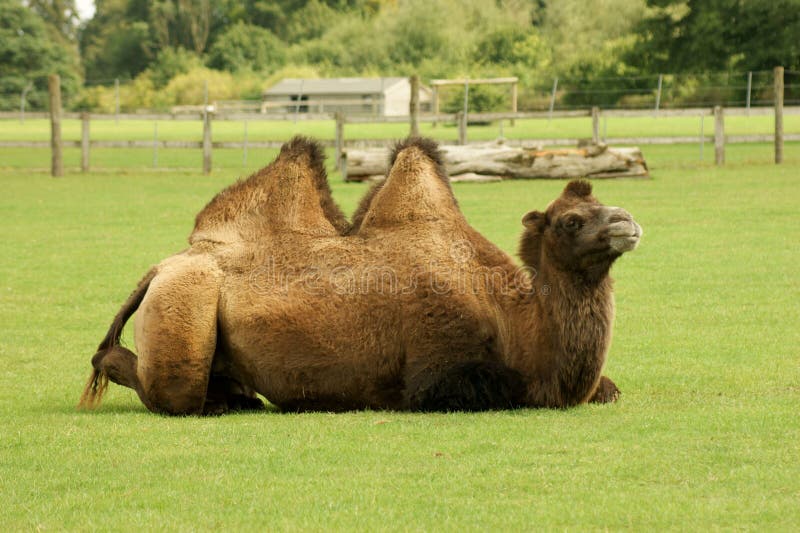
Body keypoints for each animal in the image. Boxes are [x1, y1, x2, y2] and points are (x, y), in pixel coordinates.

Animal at [79, 136, 642, 414]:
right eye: (571, 220)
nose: (628, 222)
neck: (513, 319)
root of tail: (161, 266)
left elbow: (609, 388)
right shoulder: (439, 369)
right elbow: (490, 387)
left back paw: (238, 397)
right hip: (187, 295)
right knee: (160, 386)